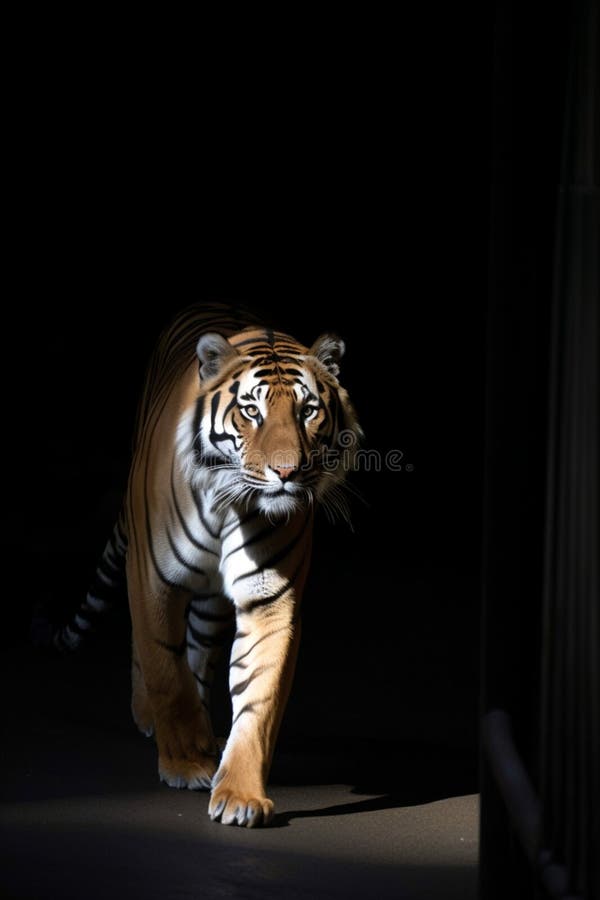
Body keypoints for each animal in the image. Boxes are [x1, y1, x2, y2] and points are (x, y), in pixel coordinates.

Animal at [53, 302, 362, 827]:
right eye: (252, 410)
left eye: (308, 410)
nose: (287, 473)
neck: (227, 506)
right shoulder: (153, 579)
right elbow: (164, 668)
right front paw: (183, 764)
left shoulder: (270, 599)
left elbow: (258, 694)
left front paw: (239, 794)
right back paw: (155, 721)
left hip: (213, 606)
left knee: (199, 654)